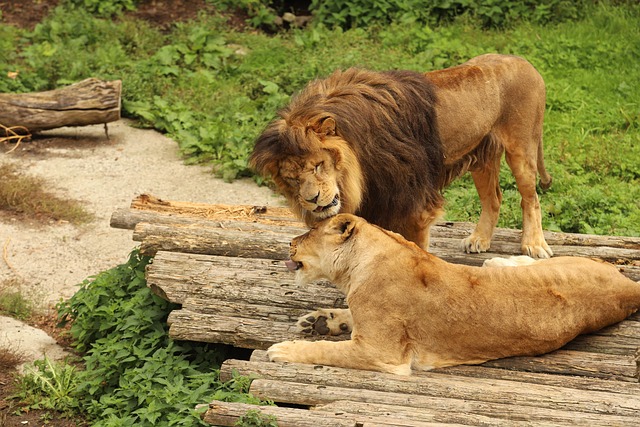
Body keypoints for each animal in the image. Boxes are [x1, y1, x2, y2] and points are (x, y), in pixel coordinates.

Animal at [250, 54, 554, 258]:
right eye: (292, 180)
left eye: (318, 166)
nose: (312, 200)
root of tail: (524, 61)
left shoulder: (414, 205)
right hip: (482, 156)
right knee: (494, 199)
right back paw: (479, 239)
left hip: (522, 148)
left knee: (531, 198)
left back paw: (534, 244)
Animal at [267, 214, 640, 375]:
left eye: (309, 232)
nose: (289, 243)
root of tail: (629, 287)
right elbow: (347, 317)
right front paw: (319, 321)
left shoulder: (382, 354)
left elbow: (327, 352)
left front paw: (284, 349)